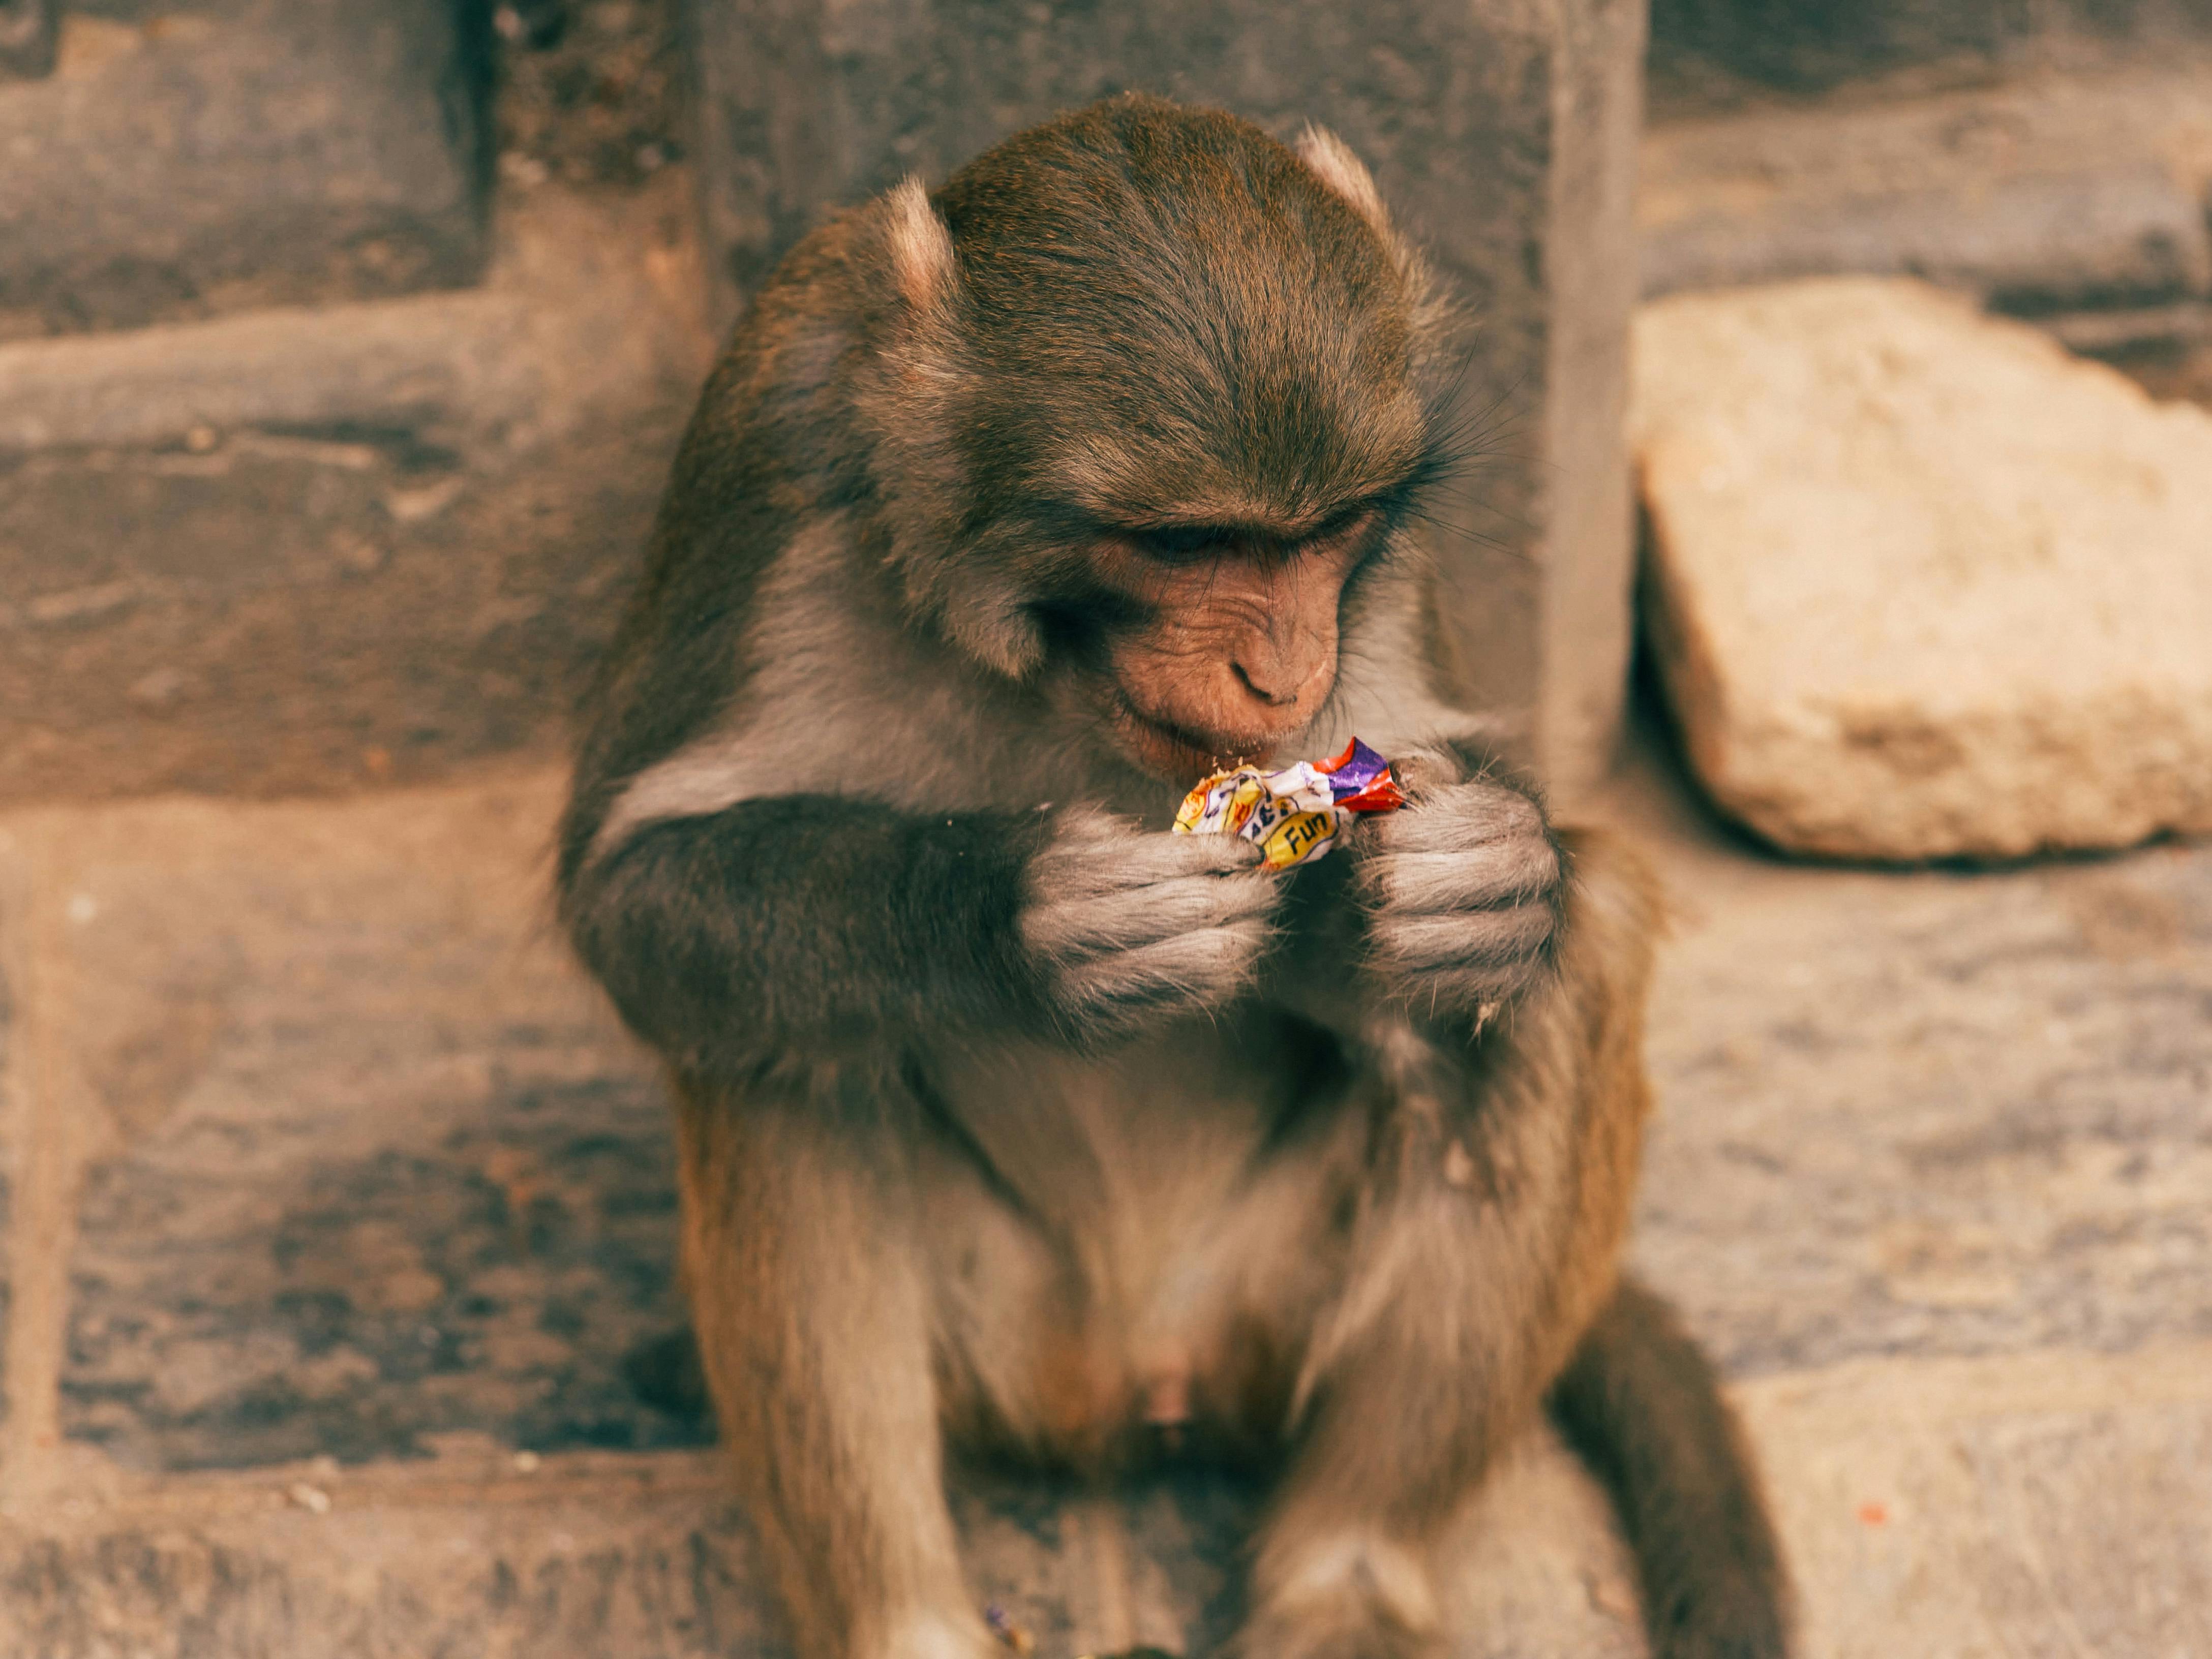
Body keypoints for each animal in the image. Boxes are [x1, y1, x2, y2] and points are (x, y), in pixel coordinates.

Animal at [557, 95, 1790, 1659]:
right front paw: (1028, 923)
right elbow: (632, 884)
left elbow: (1447, 856)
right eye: (1183, 542)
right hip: (1010, 1335)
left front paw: (1483, 881)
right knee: (775, 1052)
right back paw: (904, 1619)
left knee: (1584, 958)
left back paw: (1344, 1572)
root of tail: (1128, 1376)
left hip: (1267, 1304)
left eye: (1321, 533)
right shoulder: (768, 422)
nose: (1283, 668)